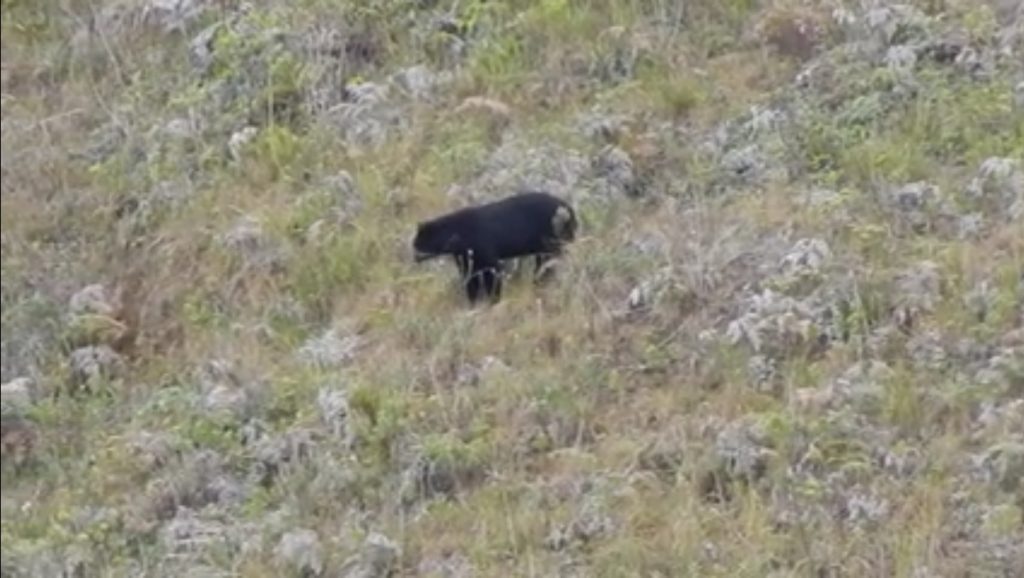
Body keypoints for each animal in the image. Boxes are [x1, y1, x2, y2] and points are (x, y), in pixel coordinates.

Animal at [412, 190, 578, 304]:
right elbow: (470, 274)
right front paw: (473, 301)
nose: (414, 257)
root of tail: (569, 209)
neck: (459, 234)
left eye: (418, 244)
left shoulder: (480, 244)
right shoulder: (464, 254)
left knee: (548, 259)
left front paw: (493, 299)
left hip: (552, 235)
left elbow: (492, 271)